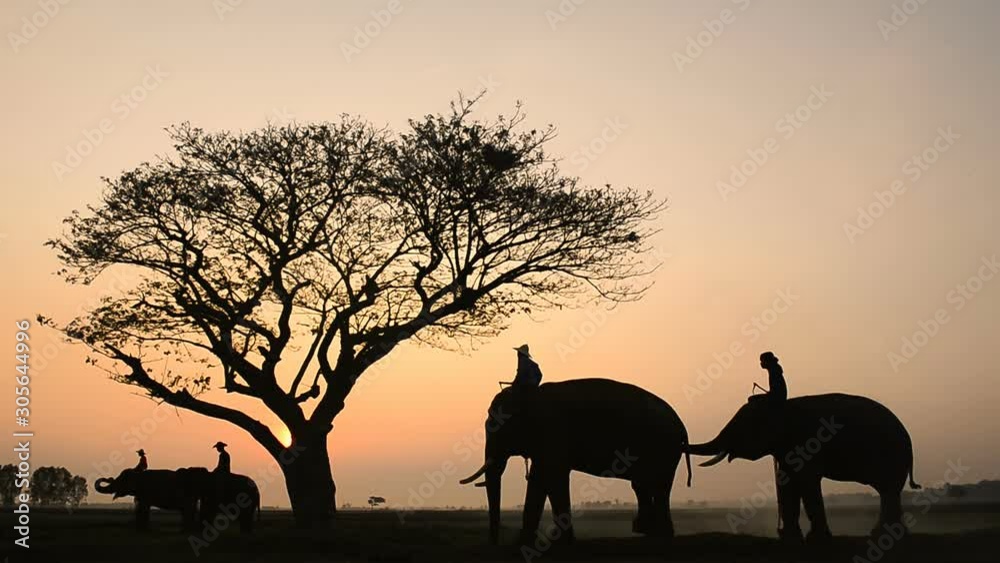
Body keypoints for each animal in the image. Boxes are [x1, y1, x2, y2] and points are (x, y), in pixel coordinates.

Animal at [459, 378, 691, 545]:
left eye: (498, 425)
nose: (493, 543)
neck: (531, 395)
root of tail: (680, 424)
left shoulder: (554, 434)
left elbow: (553, 477)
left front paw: (558, 542)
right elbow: (540, 479)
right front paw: (527, 542)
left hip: (663, 449)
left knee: (658, 487)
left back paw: (660, 535)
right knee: (644, 485)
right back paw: (649, 532)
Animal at [686, 393, 920, 543]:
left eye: (742, 426)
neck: (781, 408)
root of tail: (907, 436)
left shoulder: (808, 442)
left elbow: (807, 481)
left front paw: (816, 538)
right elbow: (787, 482)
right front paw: (790, 537)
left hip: (892, 456)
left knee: (888, 491)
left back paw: (884, 535)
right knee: (888, 492)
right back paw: (885, 535)